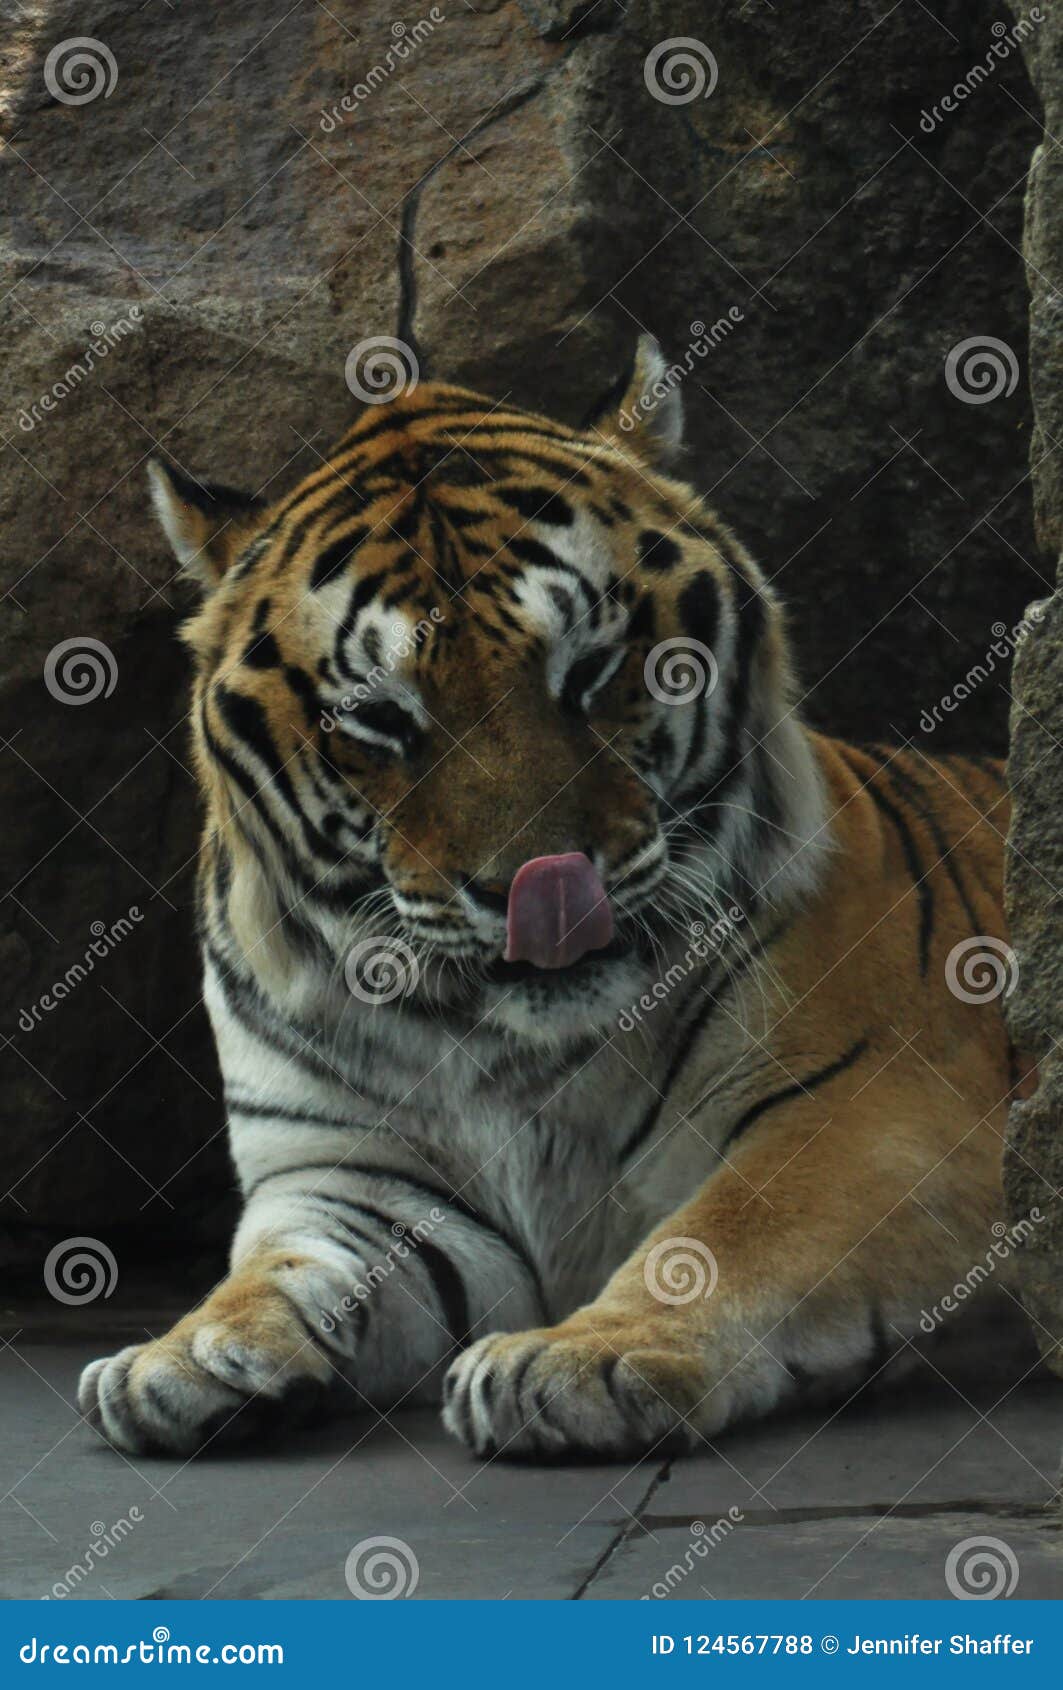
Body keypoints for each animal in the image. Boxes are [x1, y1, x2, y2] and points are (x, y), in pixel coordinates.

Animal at [78, 336, 1025, 1461]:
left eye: (592, 670)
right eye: (380, 717)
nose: (540, 888)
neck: (509, 1048)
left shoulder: (871, 1105)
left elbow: (728, 1232)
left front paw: (574, 1360)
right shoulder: (353, 1178)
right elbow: (280, 1268)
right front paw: (179, 1357)